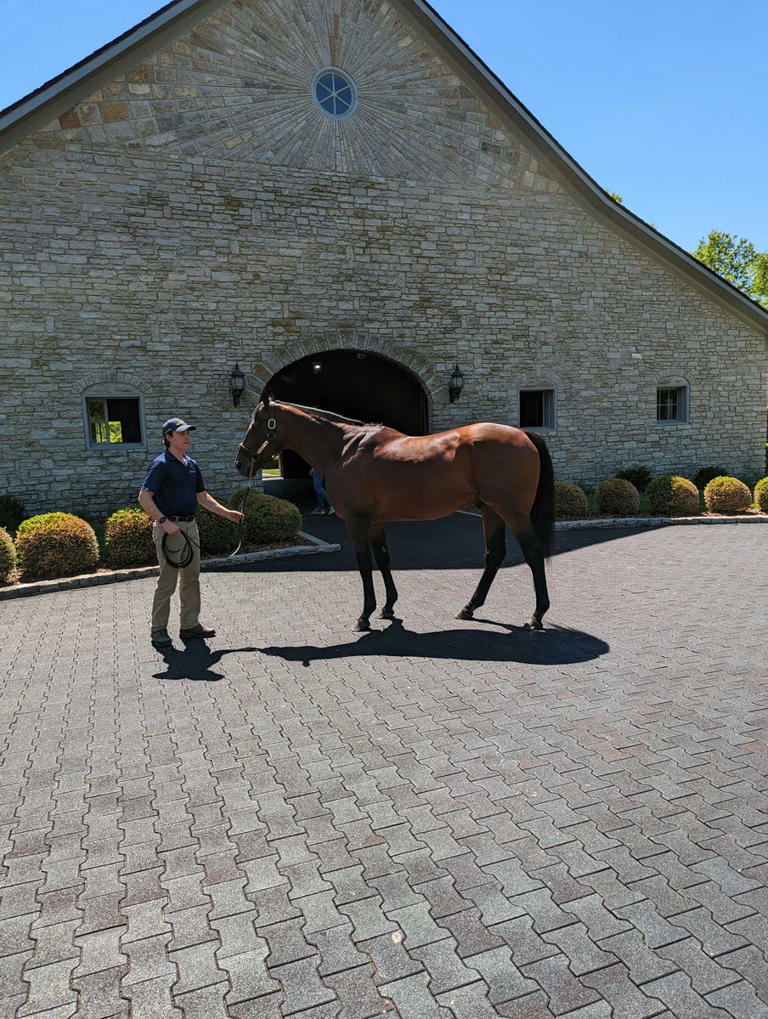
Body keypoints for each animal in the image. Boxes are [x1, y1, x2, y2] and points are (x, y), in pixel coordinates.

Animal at [235, 398, 555, 632]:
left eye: (257, 423)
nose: (240, 462)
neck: (344, 449)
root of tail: (522, 433)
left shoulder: (357, 521)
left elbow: (364, 563)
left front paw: (364, 615)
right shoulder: (375, 521)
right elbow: (383, 559)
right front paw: (388, 607)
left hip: (513, 512)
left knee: (533, 553)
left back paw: (536, 615)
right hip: (491, 510)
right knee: (494, 555)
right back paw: (469, 608)